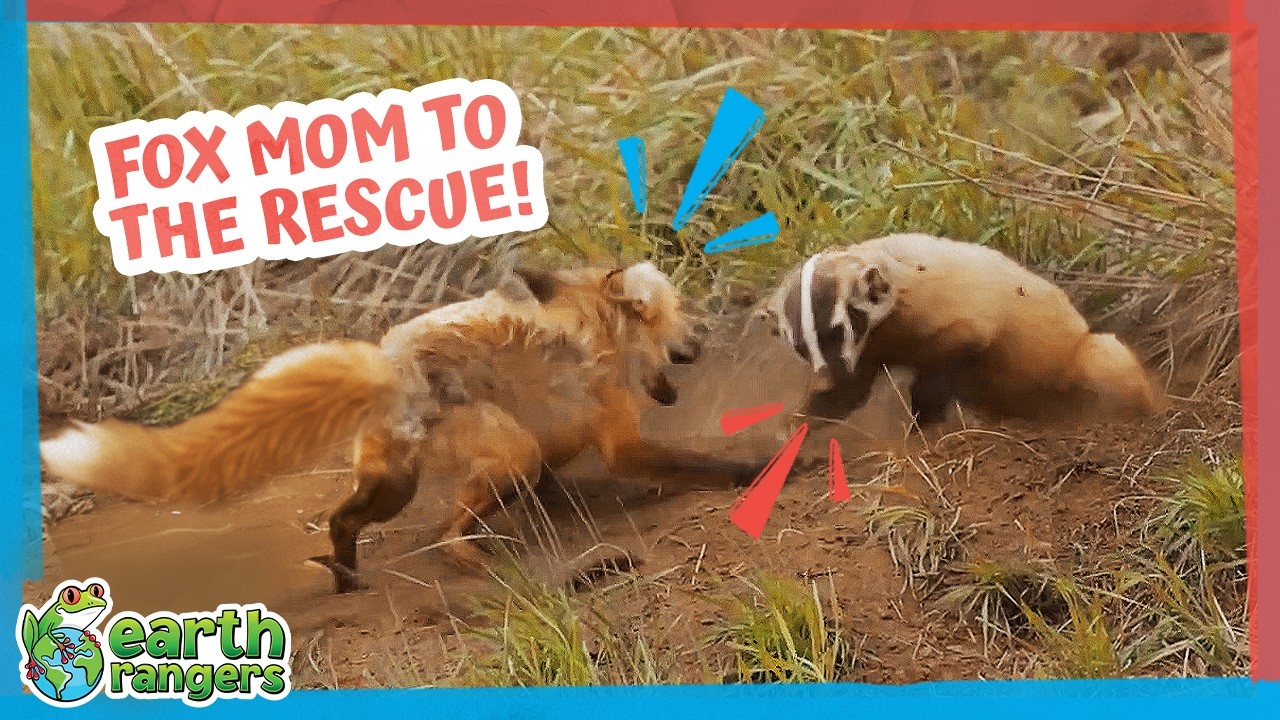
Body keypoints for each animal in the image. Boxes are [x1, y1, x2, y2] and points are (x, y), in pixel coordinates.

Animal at [40, 261, 762, 592]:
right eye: (683, 316)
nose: (705, 336)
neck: (604, 336)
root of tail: (386, 363)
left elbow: (567, 483)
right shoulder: (619, 443)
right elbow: (701, 460)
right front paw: (757, 468)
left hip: (397, 483)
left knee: (345, 519)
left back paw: (346, 573)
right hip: (507, 453)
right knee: (441, 535)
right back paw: (483, 561)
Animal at [761, 233, 1161, 426]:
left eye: (836, 330)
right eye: (801, 346)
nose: (826, 373)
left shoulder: (948, 310)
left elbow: (964, 341)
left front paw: (924, 422)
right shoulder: (868, 350)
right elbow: (851, 392)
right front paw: (796, 425)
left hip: (1078, 359)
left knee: (1106, 360)